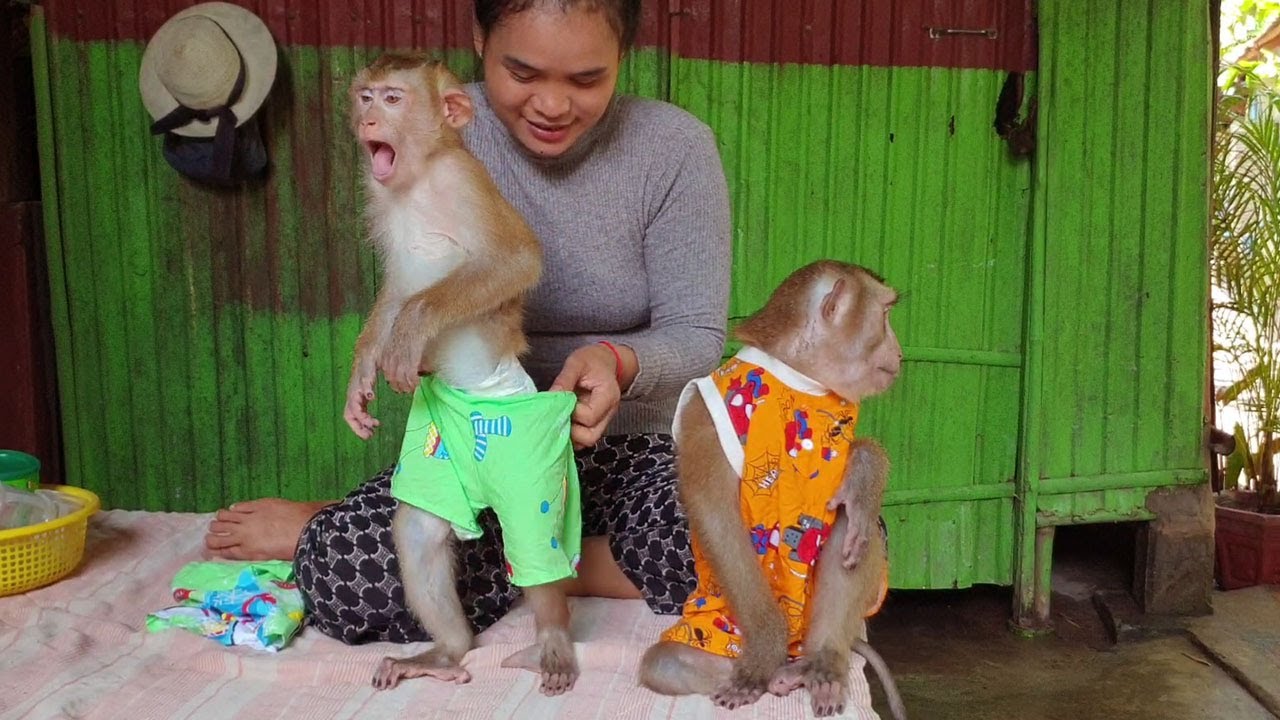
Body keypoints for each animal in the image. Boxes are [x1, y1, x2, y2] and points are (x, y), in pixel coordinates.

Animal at [343, 53, 581, 696]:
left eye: (393, 99)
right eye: (366, 95)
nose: (368, 118)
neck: (417, 180)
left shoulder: (462, 182)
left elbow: (515, 260)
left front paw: (409, 332)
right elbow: (394, 290)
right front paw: (362, 373)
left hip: (529, 463)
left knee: (531, 533)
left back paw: (552, 639)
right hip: (441, 443)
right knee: (420, 532)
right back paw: (447, 652)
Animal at [638, 260, 908, 719]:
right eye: (885, 316)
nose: (900, 350)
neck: (798, 375)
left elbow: (851, 491)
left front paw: (863, 477)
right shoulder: (705, 417)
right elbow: (716, 516)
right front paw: (763, 652)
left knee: (853, 527)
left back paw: (822, 665)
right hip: (718, 626)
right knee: (667, 664)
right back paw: (772, 673)